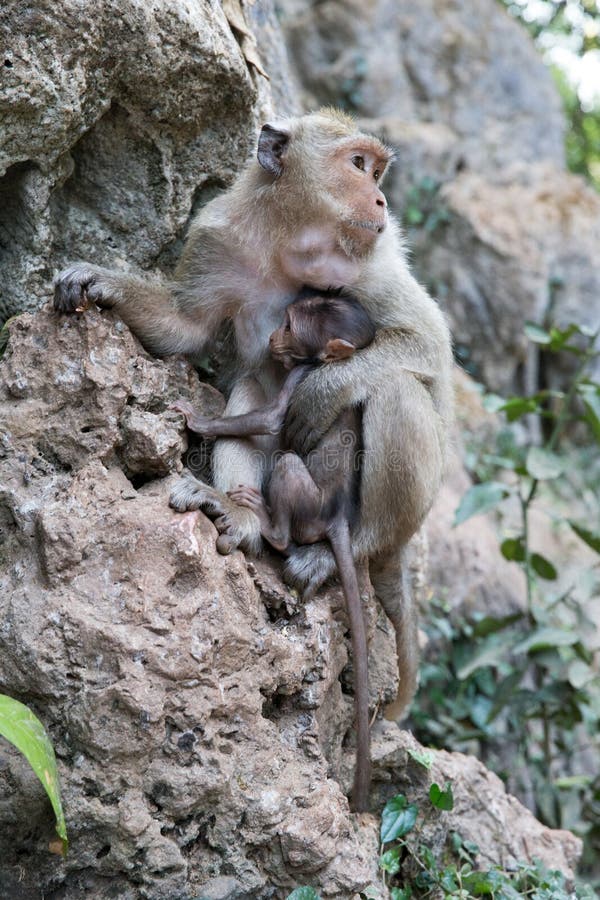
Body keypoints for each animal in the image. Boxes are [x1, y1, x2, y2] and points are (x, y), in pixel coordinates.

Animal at [53, 109, 454, 719]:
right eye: (359, 165)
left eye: (375, 171)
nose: (381, 200)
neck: (288, 240)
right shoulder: (218, 237)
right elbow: (185, 327)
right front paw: (103, 282)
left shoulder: (373, 263)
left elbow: (426, 345)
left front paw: (323, 389)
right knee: (249, 387)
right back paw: (240, 515)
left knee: (395, 390)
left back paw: (343, 551)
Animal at [172, 292, 376, 811]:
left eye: (289, 326)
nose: (271, 338)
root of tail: (336, 518)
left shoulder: (303, 374)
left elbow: (272, 418)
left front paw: (198, 420)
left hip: (308, 505)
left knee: (285, 465)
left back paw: (272, 527)